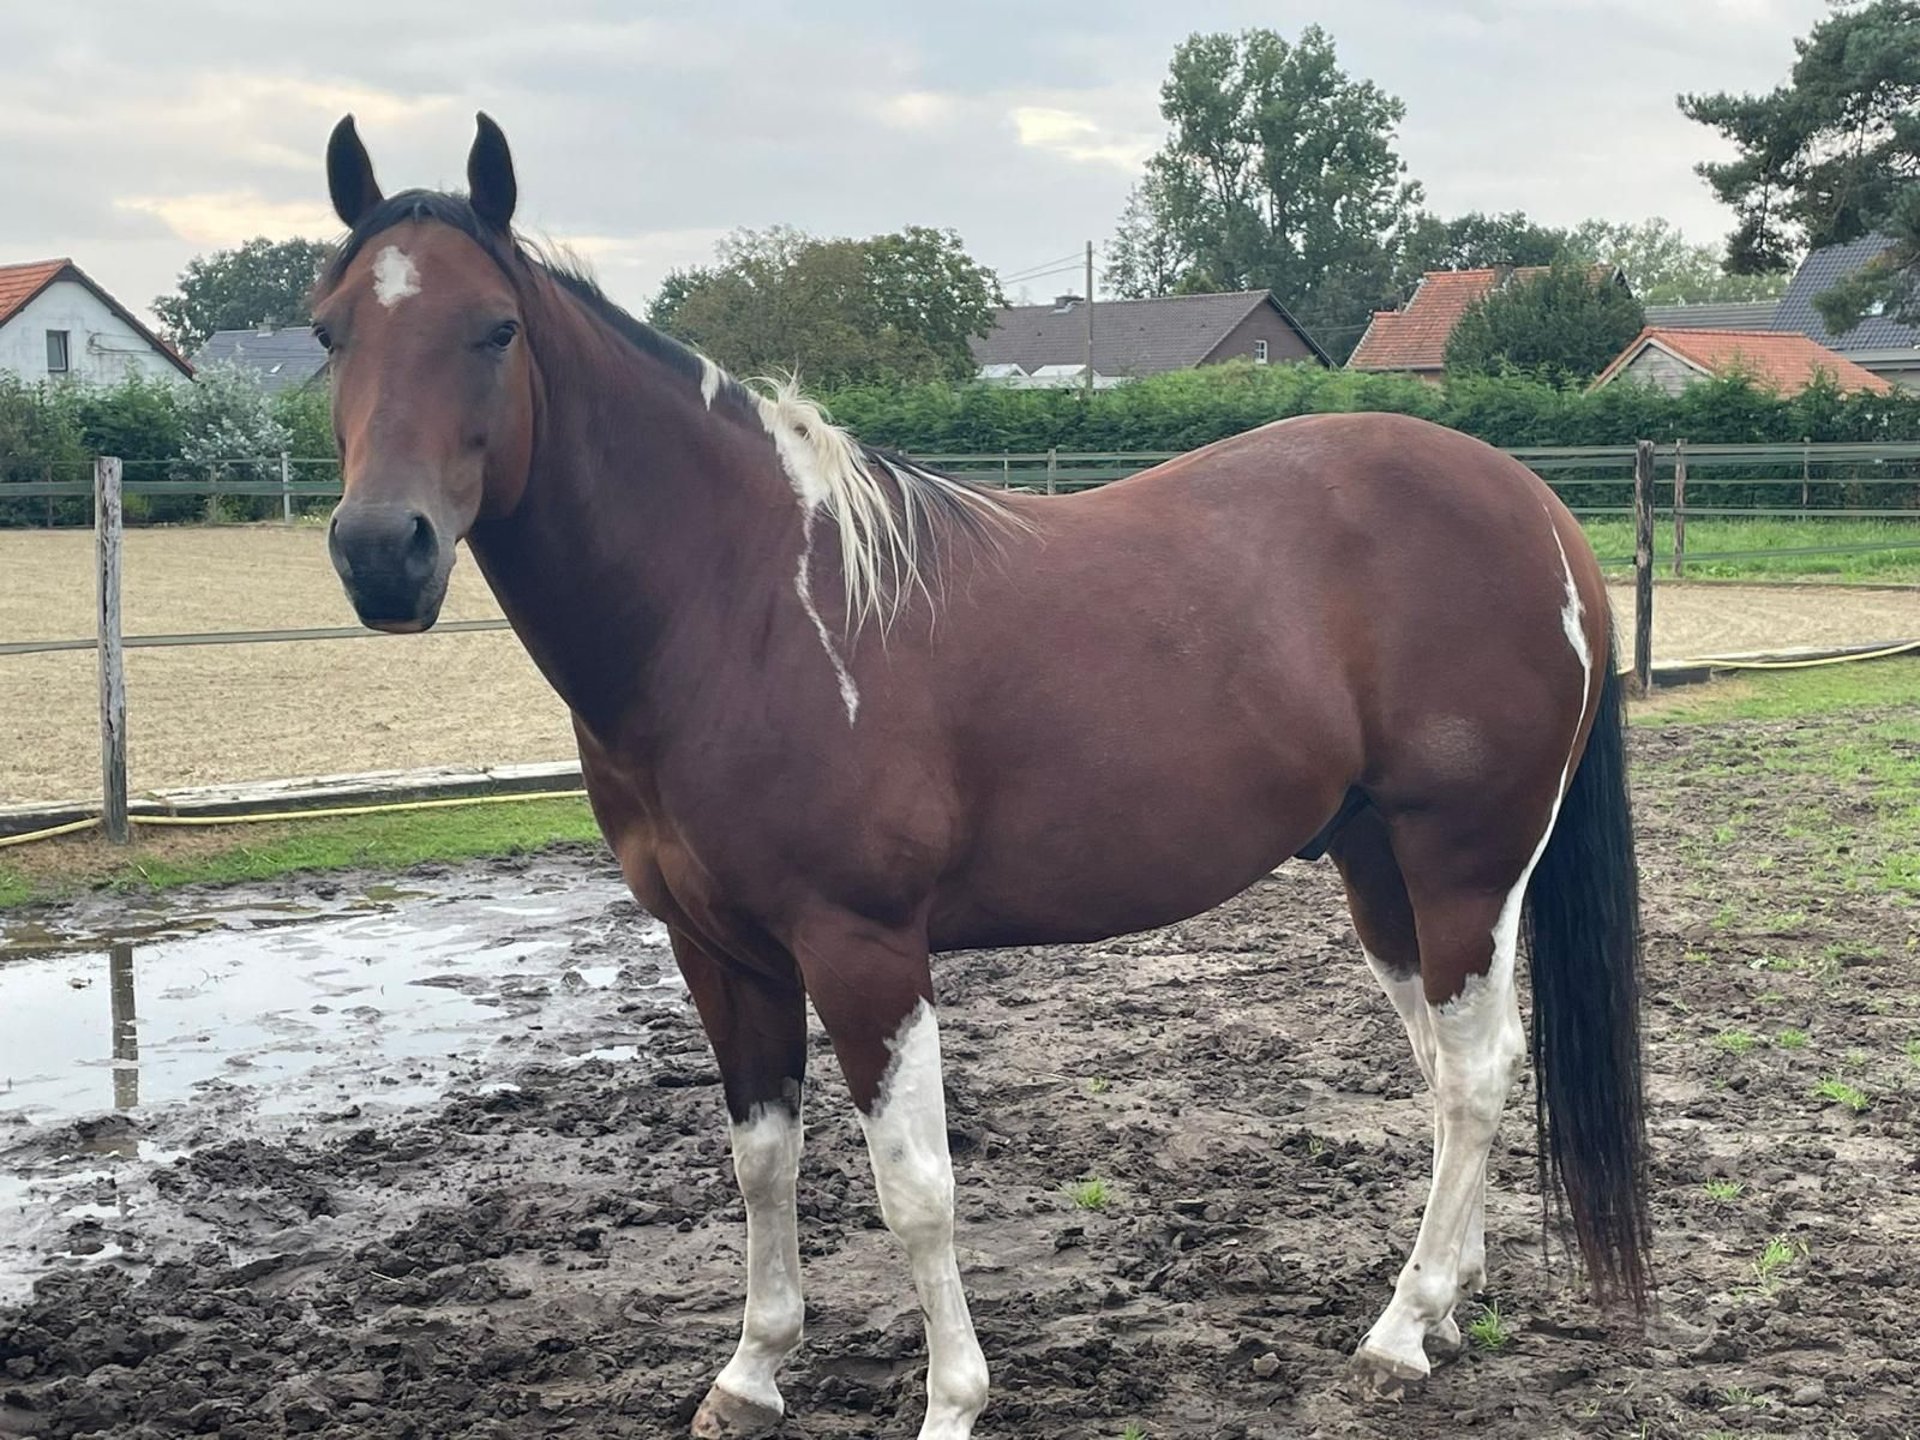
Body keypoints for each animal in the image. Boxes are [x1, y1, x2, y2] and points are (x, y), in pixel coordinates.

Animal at [313, 114, 1651, 1438]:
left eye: (497, 328)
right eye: (330, 332)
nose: (383, 553)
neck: (740, 606)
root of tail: (1538, 509)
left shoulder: (862, 949)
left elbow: (915, 1189)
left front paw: (951, 1402)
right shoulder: (722, 953)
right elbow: (762, 1163)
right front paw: (752, 1372)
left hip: (1466, 863)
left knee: (1476, 1075)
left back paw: (1396, 1336)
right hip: (1379, 867)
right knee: (1448, 1067)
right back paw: (1445, 1304)